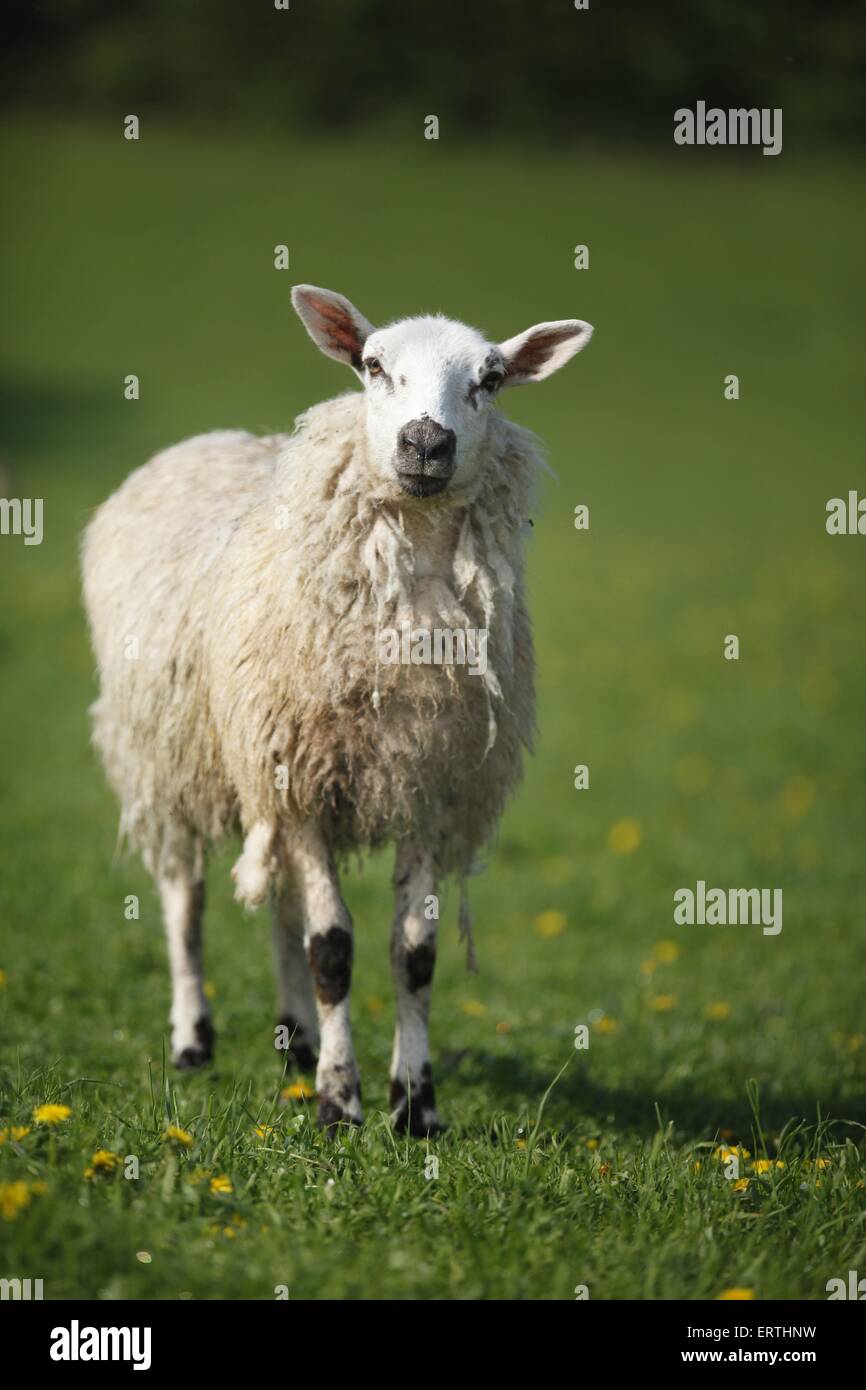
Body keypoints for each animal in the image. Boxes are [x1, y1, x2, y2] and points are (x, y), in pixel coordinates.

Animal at [82, 285, 594, 1134]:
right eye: (373, 366)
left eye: (490, 378)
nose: (426, 442)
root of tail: (211, 439)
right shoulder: (306, 785)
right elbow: (332, 949)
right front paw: (338, 1102)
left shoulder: (427, 786)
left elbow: (412, 955)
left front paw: (414, 1102)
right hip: (169, 759)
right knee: (185, 904)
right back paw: (194, 1038)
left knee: (281, 907)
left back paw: (295, 1035)